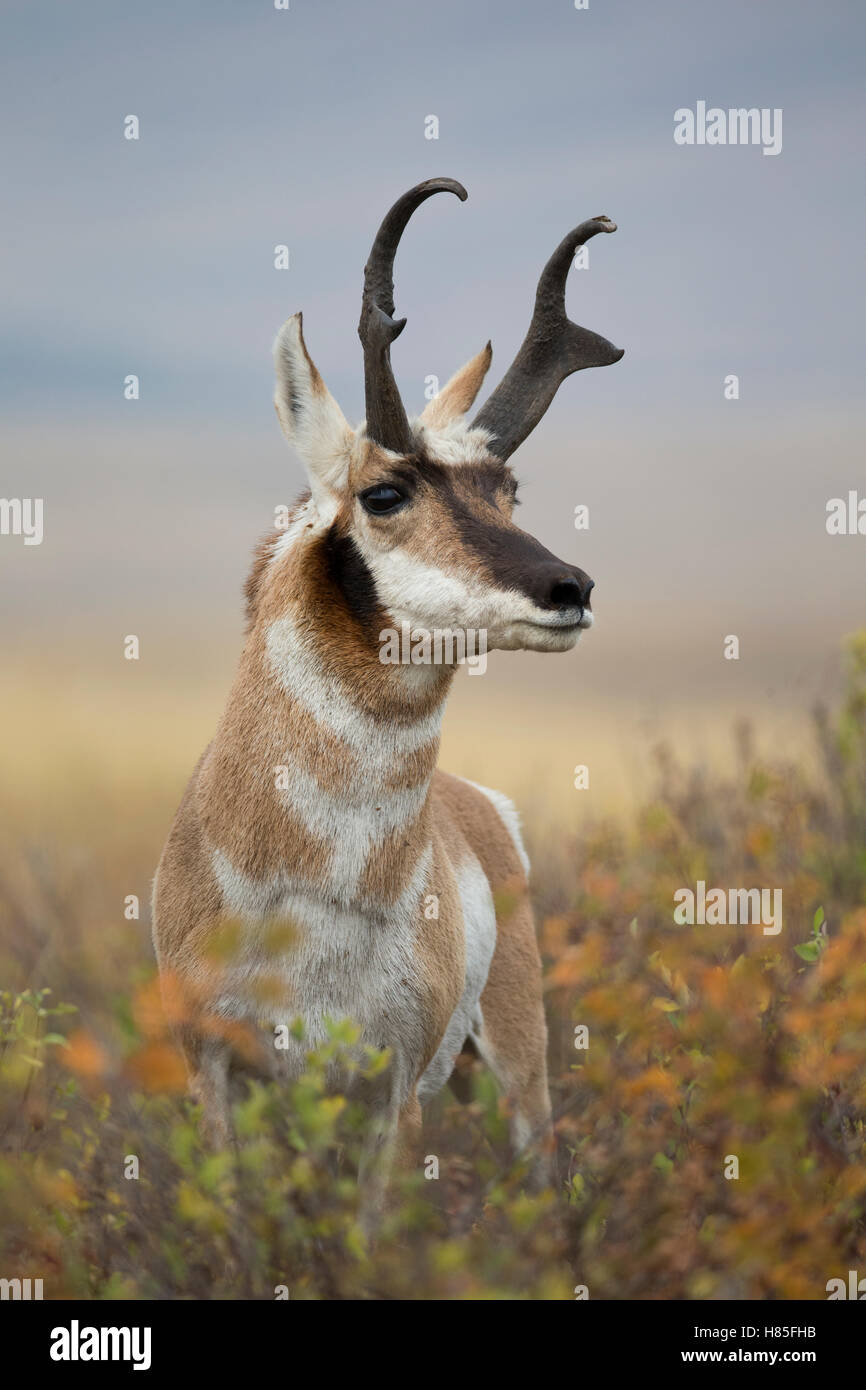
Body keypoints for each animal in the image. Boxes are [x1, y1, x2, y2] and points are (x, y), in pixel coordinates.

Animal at [152, 178, 622, 1211]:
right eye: (384, 492)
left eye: (508, 487)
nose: (571, 587)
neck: (311, 896)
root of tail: (481, 805)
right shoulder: (215, 1074)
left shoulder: (391, 1092)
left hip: (517, 1061)